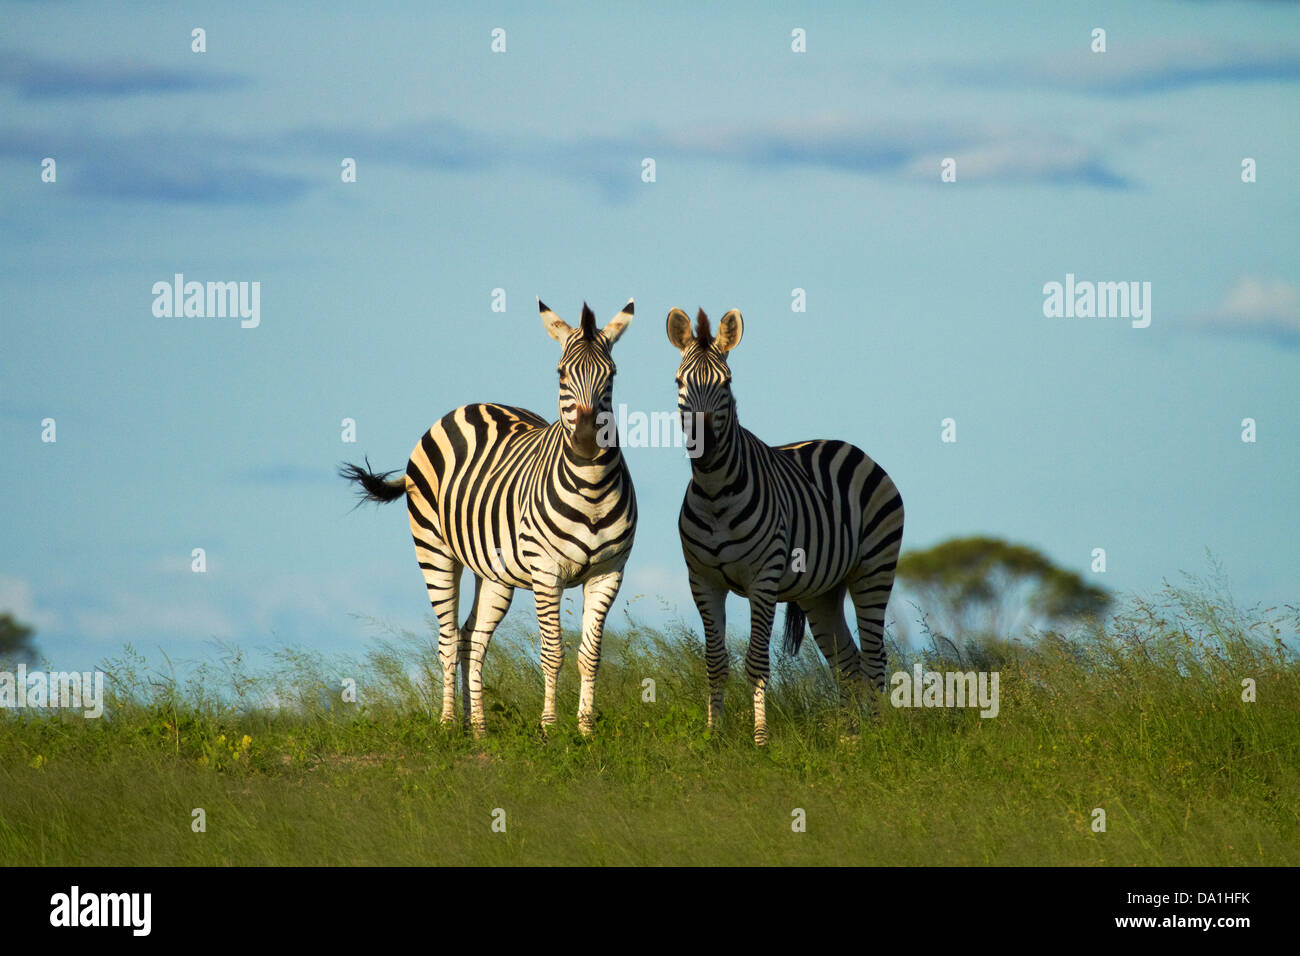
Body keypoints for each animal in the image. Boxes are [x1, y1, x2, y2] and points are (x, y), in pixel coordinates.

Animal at [341, 299, 637, 737]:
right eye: (561, 373)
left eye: (612, 374)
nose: (585, 439)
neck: (592, 490)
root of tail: (470, 406)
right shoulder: (547, 571)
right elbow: (553, 652)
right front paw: (550, 728)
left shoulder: (609, 573)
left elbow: (590, 654)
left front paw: (586, 729)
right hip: (434, 550)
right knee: (448, 639)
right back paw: (449, 723)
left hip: (494, 573)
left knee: (471, 638)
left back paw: (477, 728)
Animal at [667, 307, 904, 744]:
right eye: (679, 382)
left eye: (726, 383)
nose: (703, 444)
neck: (714, 494)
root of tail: (848, 446)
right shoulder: (702, 580)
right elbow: (715, 661)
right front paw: (714, 735)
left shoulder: (763, 579)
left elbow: (756, 661)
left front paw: (760, 739)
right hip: (822, 592)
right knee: (847, 661)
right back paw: (850, 739)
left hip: (874, 570)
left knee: (875, 657)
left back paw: (878, 735)